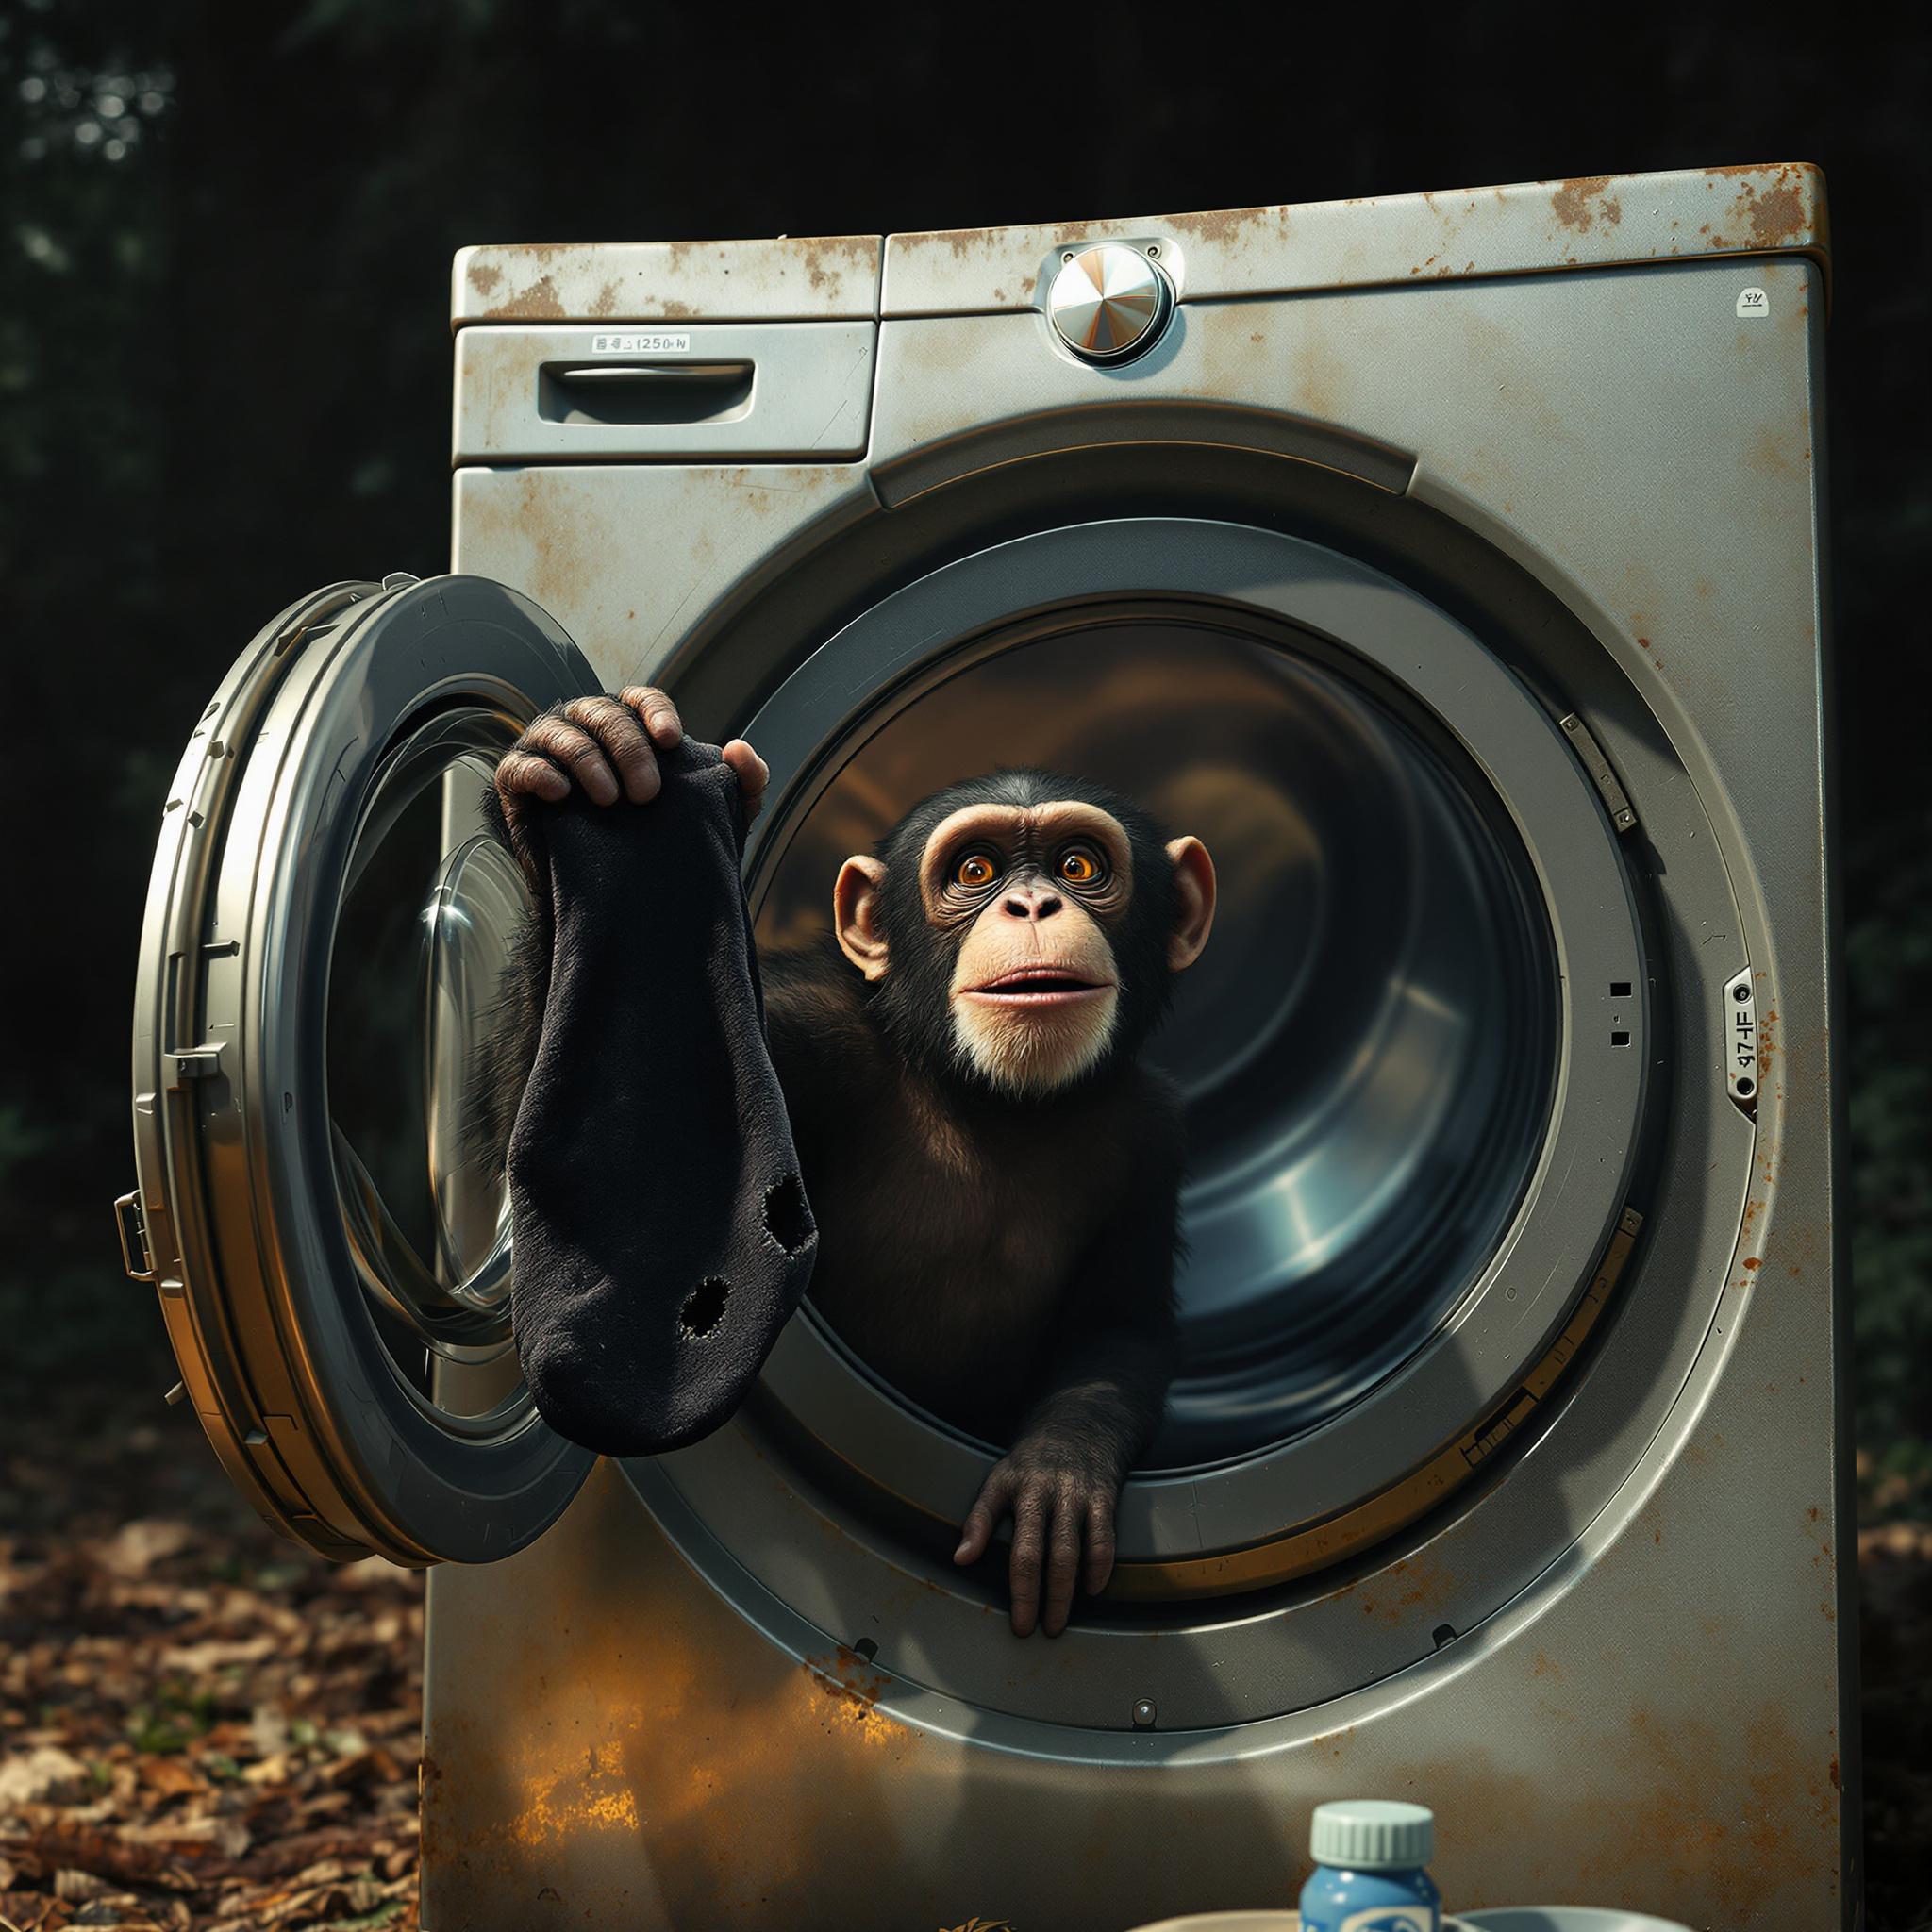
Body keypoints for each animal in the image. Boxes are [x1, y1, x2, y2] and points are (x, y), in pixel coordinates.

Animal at [484, 687, 1217, 1638]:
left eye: (1080, 864)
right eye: (975, 871)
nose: (1032, 906)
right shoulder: (803, 1040)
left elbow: (1119, 1323)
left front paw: (1058, 1474)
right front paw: (586, 751)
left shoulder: (1153, 1133)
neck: (985, 1099)